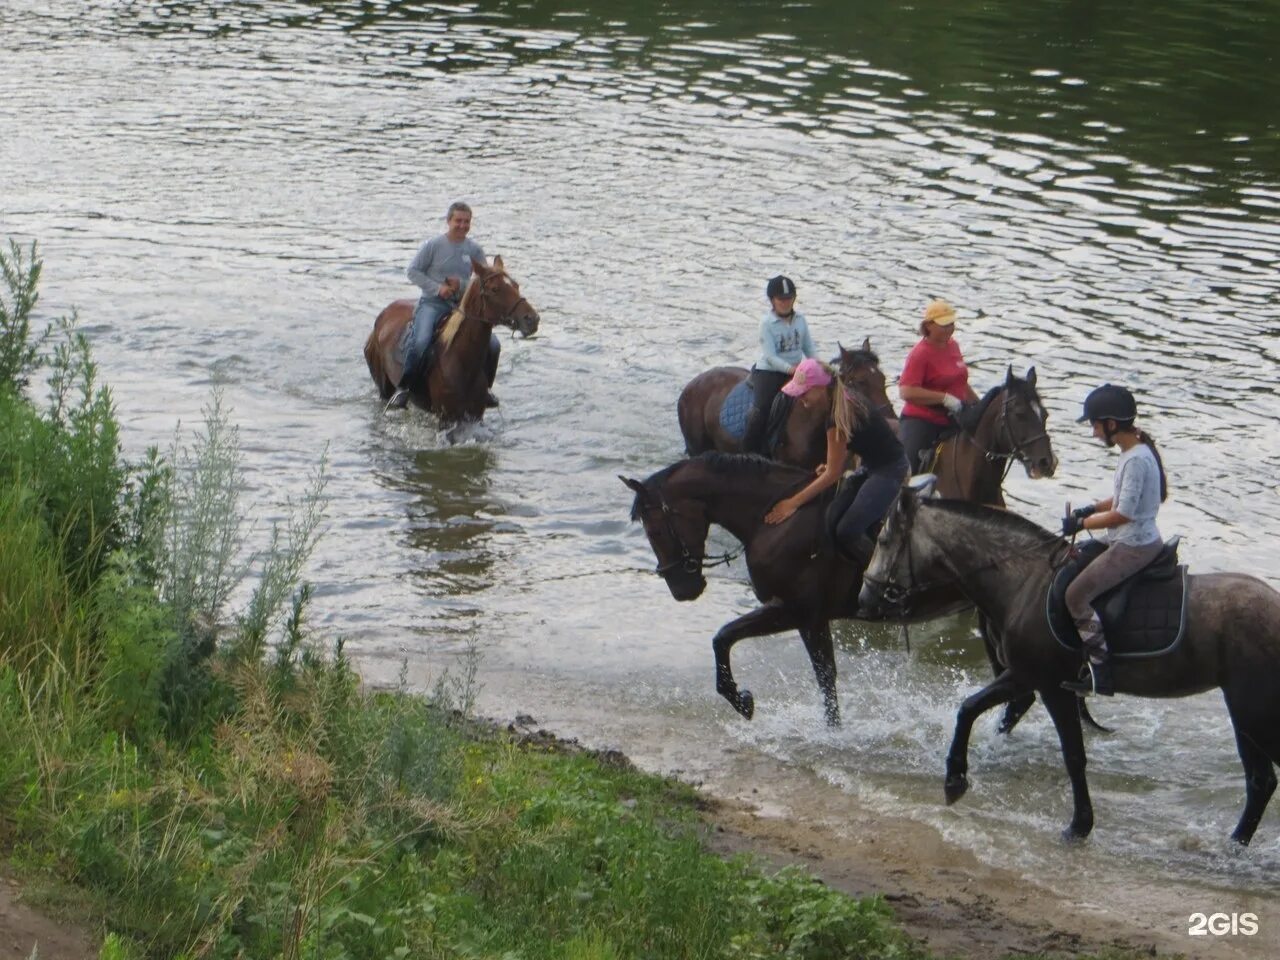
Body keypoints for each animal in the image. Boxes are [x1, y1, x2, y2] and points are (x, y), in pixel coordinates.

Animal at [363, 253, 537, 422]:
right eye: (495, 289)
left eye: (516, 285)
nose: (533, 319)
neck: (460, 360)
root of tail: (383, 316)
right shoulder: (447, 418)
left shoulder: (475, 415)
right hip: (384, 388)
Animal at [622, 455, 967, 727]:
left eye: (655, 531)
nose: (682, 590)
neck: (776, 518)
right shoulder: (810, 618)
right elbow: (823, 676)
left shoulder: (796, 612)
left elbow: (725, 638)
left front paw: (741, 700)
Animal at [860, 491, 1280, 844]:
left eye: (883, 541)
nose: (864, 599)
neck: (1024, 581)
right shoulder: (1025, 677)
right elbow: (971, 708)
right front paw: (956, 779)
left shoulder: (1048, 683)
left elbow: (1073, 756)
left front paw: (1079, 825)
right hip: (1247, 714)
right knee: (1260, 781)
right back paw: (1235, 845)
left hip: (1251, 710)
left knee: (1261, 779)